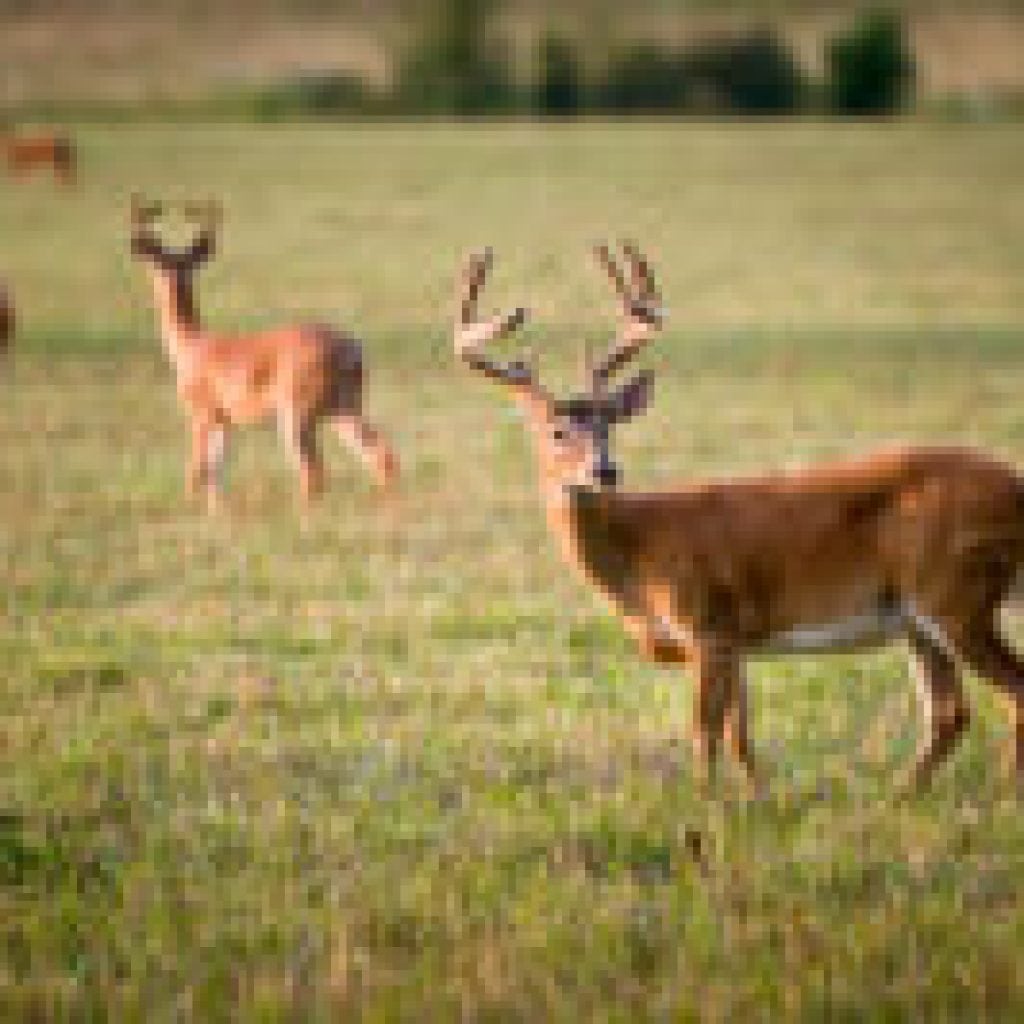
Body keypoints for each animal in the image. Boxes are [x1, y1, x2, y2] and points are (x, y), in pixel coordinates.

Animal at [130, 195, 397, 510]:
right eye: (165, 265)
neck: (190, 346)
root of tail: (351, 352)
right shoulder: (225, 421)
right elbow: (215, 474)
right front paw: (217, 514)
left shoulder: (202, 411)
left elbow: (196, 471)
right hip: (345, 406)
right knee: (379, 453)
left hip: (297, 409)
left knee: (313, 472)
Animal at [454, 242, 1024, 797]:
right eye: (557, 431)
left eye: (609, 424)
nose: (606, 470)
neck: (639, 550)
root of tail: (1016, 486)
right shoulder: (735, 641)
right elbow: (739, 734)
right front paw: (757, 800)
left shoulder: (707, 623)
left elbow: (704, 731)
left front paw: (703, 804)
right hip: (917, 616)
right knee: (949, 712)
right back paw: (899, 796)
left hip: (958, 592)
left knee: (1010, 690)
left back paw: (997, 794)